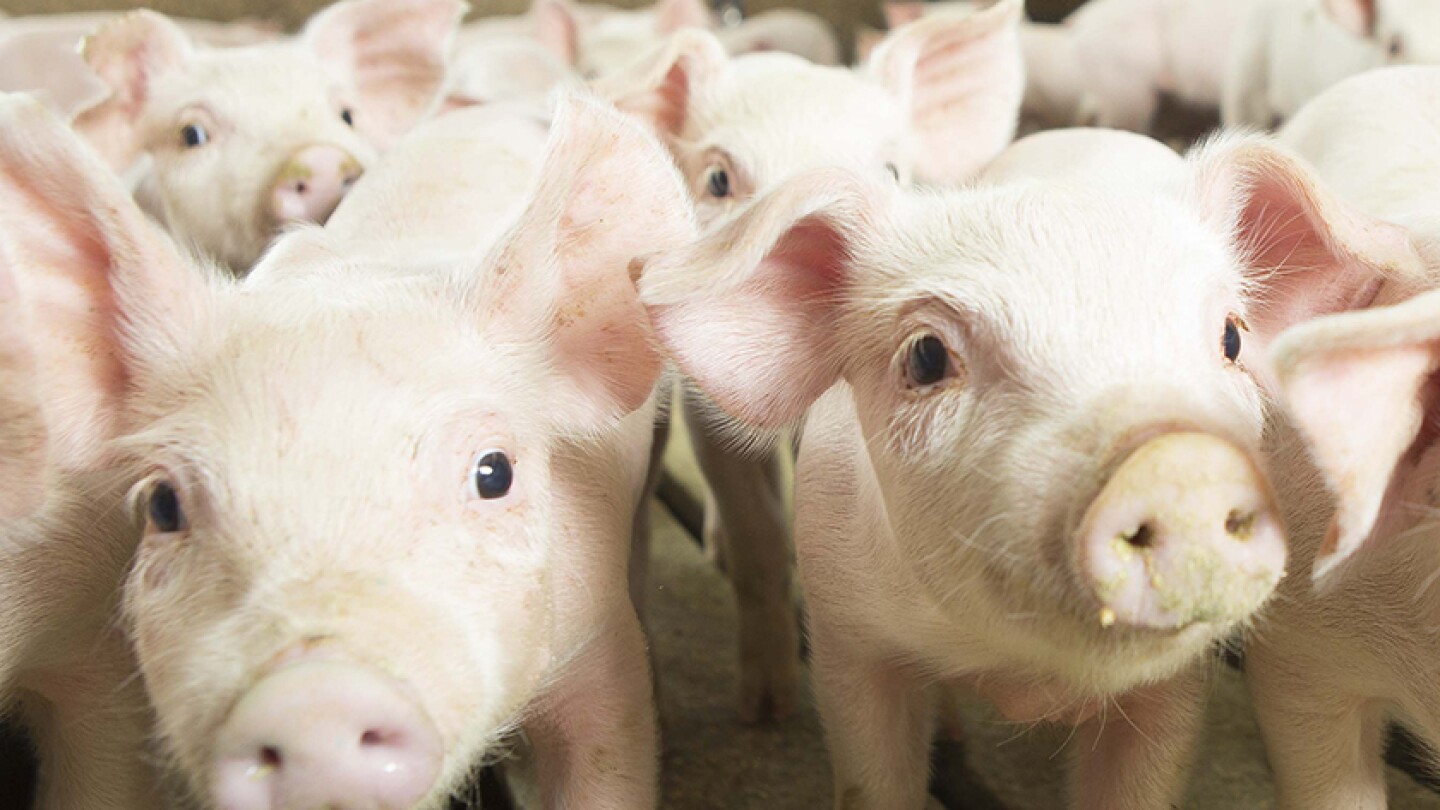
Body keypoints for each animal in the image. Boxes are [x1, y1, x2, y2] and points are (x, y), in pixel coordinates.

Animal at [635, 119, 1429, 805]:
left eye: (1232, 337)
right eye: (927, 356)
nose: (1181, 465)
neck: (1021, 674)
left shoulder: (1172, 689)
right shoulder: (847, 636)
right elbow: (872, 778)